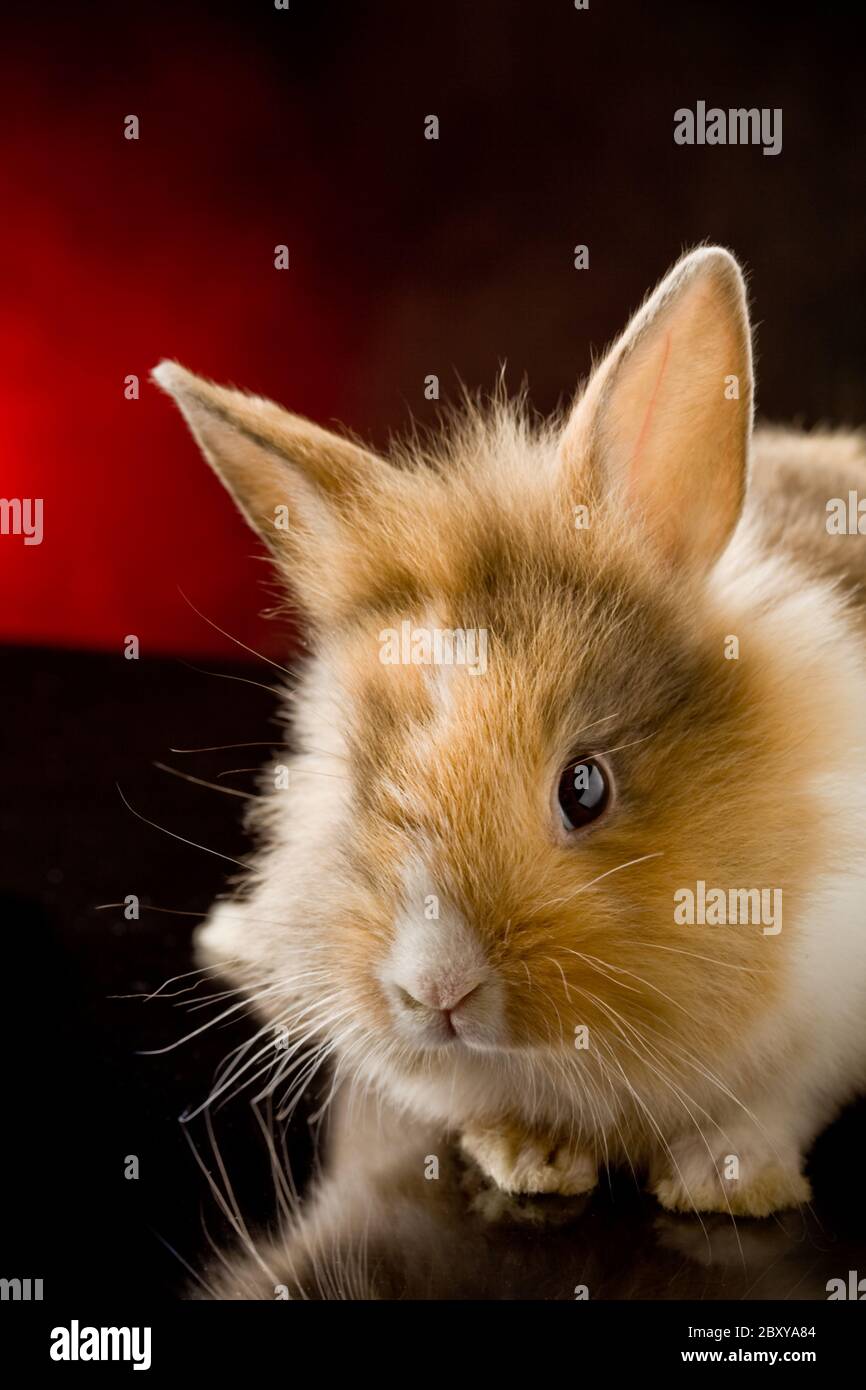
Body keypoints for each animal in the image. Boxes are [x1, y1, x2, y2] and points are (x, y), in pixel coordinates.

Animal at [153, 246, 866, 1219]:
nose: (437, 989)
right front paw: (529, 1158)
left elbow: (778, 1103)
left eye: (585, 787)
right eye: (354, 783)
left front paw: (725, 1183)